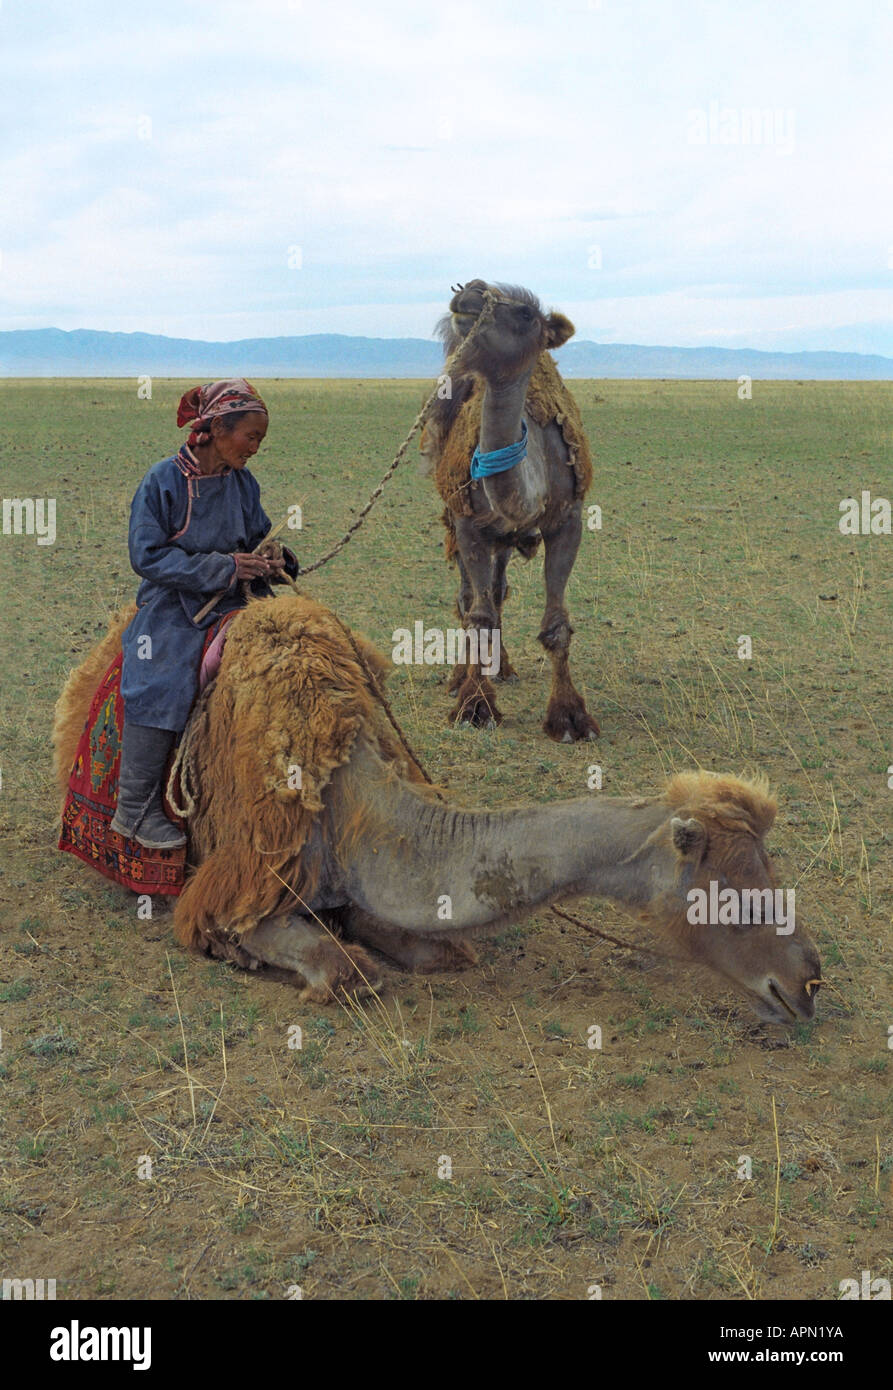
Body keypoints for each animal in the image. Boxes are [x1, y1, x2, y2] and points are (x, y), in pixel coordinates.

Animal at [54, 595, 822, 1026]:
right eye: (741, 898)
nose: (807, 982)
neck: (350, 800)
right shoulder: (238, 881)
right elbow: (342, 969)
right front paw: (256, 956)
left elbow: (435, 945)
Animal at [422, 279, 599, 741]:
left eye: (524, 314)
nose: (470, 291)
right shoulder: (469, 524)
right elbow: (478, 614)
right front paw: (474, 706)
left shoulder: (567, 521)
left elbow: (556, 624)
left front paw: (570, 717)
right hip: (460, 521)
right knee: (469, 598)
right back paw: (461, 677)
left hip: (503, 538)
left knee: (499, 590)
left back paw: (501, 669)